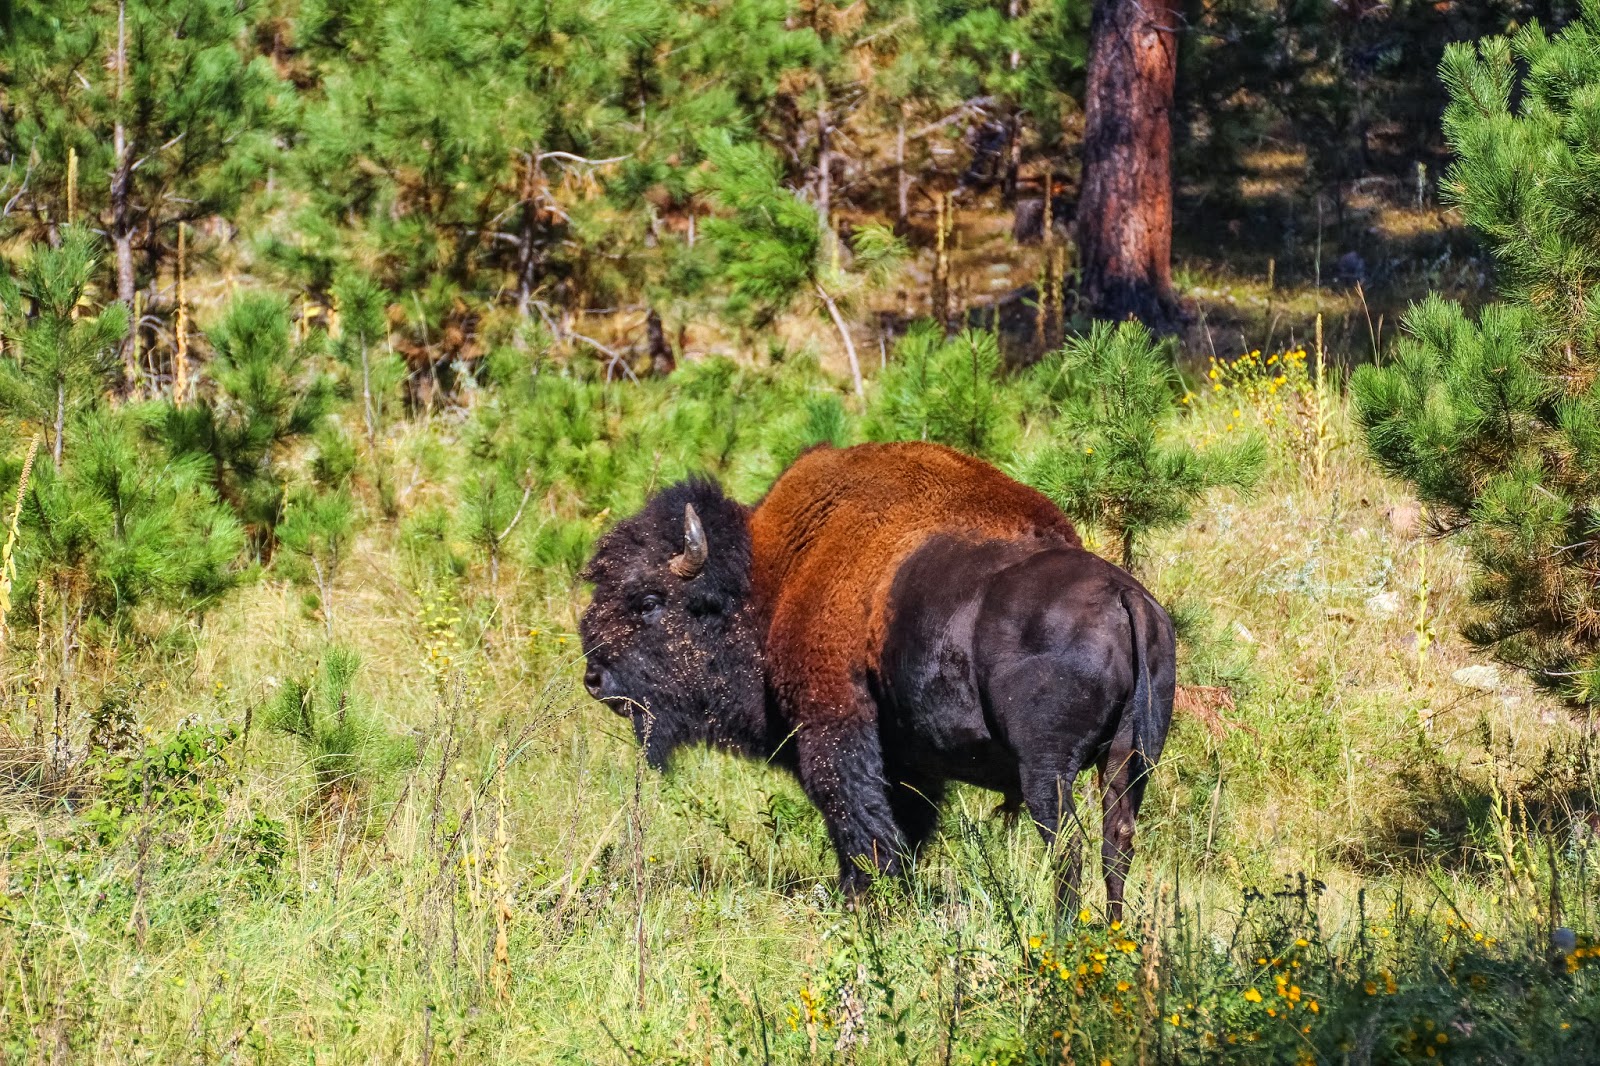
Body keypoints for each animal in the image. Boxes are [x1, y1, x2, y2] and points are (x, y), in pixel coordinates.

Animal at [580, 441, 1175, 920]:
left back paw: (1063, 930)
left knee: (1068, 843)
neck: (775, 577)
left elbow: (857, 816)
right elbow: (905, 822)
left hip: (1048, 770)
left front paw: (862, 898)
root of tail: (1127, 598)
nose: (594, 678)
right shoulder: (910, 761)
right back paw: (1112, 931)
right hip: (1131, 759)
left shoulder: (834, 727)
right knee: (1116, 841)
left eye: (649, 600)